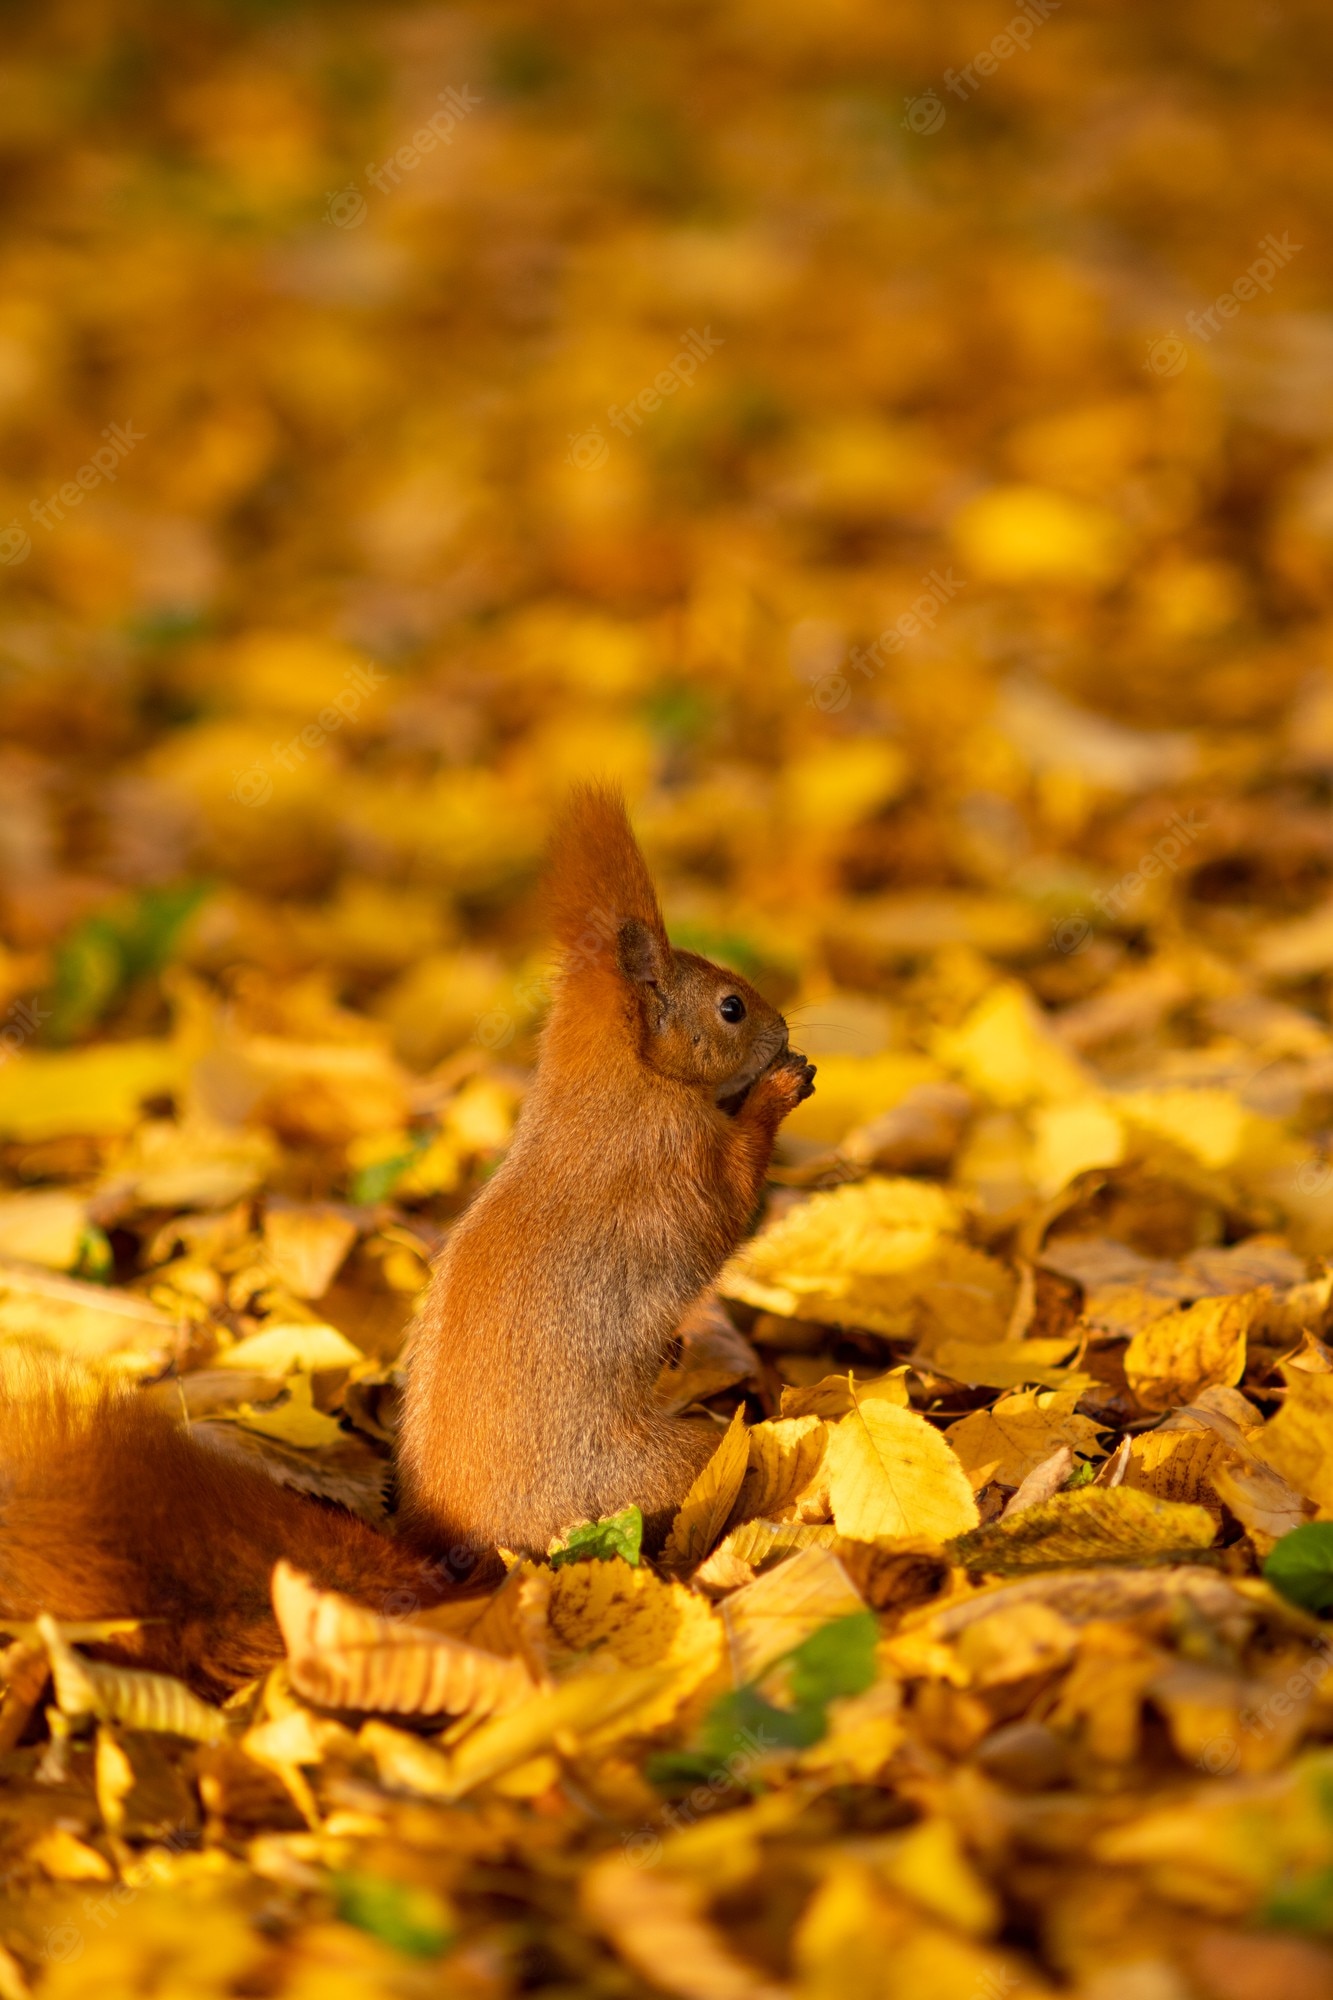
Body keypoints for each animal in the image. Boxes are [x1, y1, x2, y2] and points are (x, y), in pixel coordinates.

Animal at [0, 786, 813, 1692]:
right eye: (730, 1008)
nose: (783, 1028)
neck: (608, 1090)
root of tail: (467, 1563)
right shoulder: (668, 1171)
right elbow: (727, 1207)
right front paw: (777, 1092)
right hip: (664, 1465)